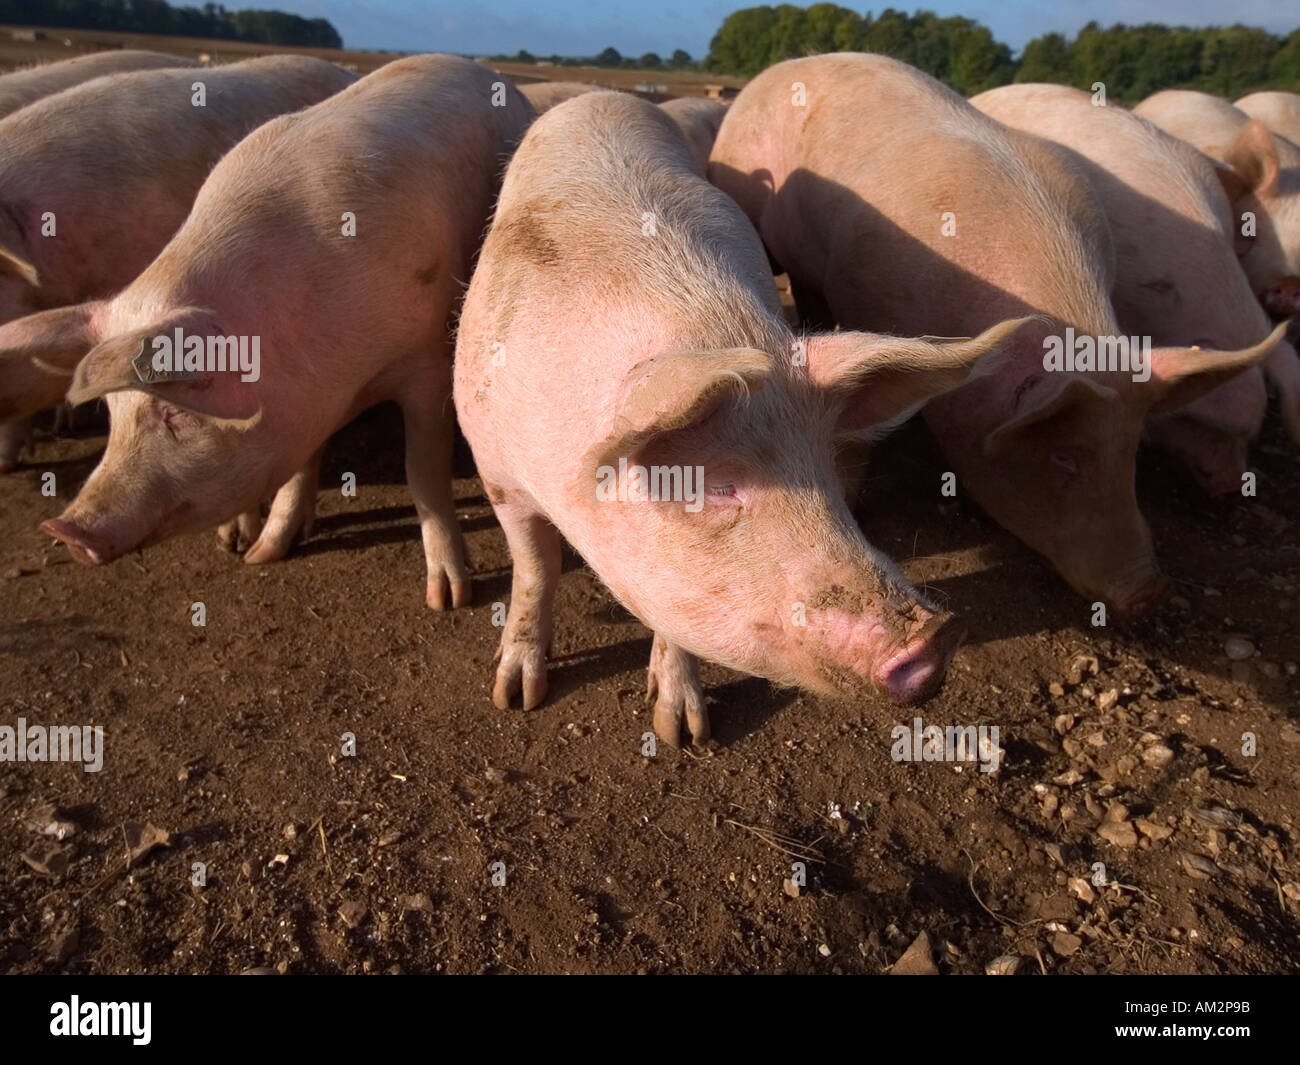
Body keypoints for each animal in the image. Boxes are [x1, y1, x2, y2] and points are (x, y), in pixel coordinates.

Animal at [455, 90, 1030, 745]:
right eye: (716, 488)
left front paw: (683, 731)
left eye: (827, 479)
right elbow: (535, 569)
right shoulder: (493, 465)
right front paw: (515, 696)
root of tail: (602, 93)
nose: (937, 637)